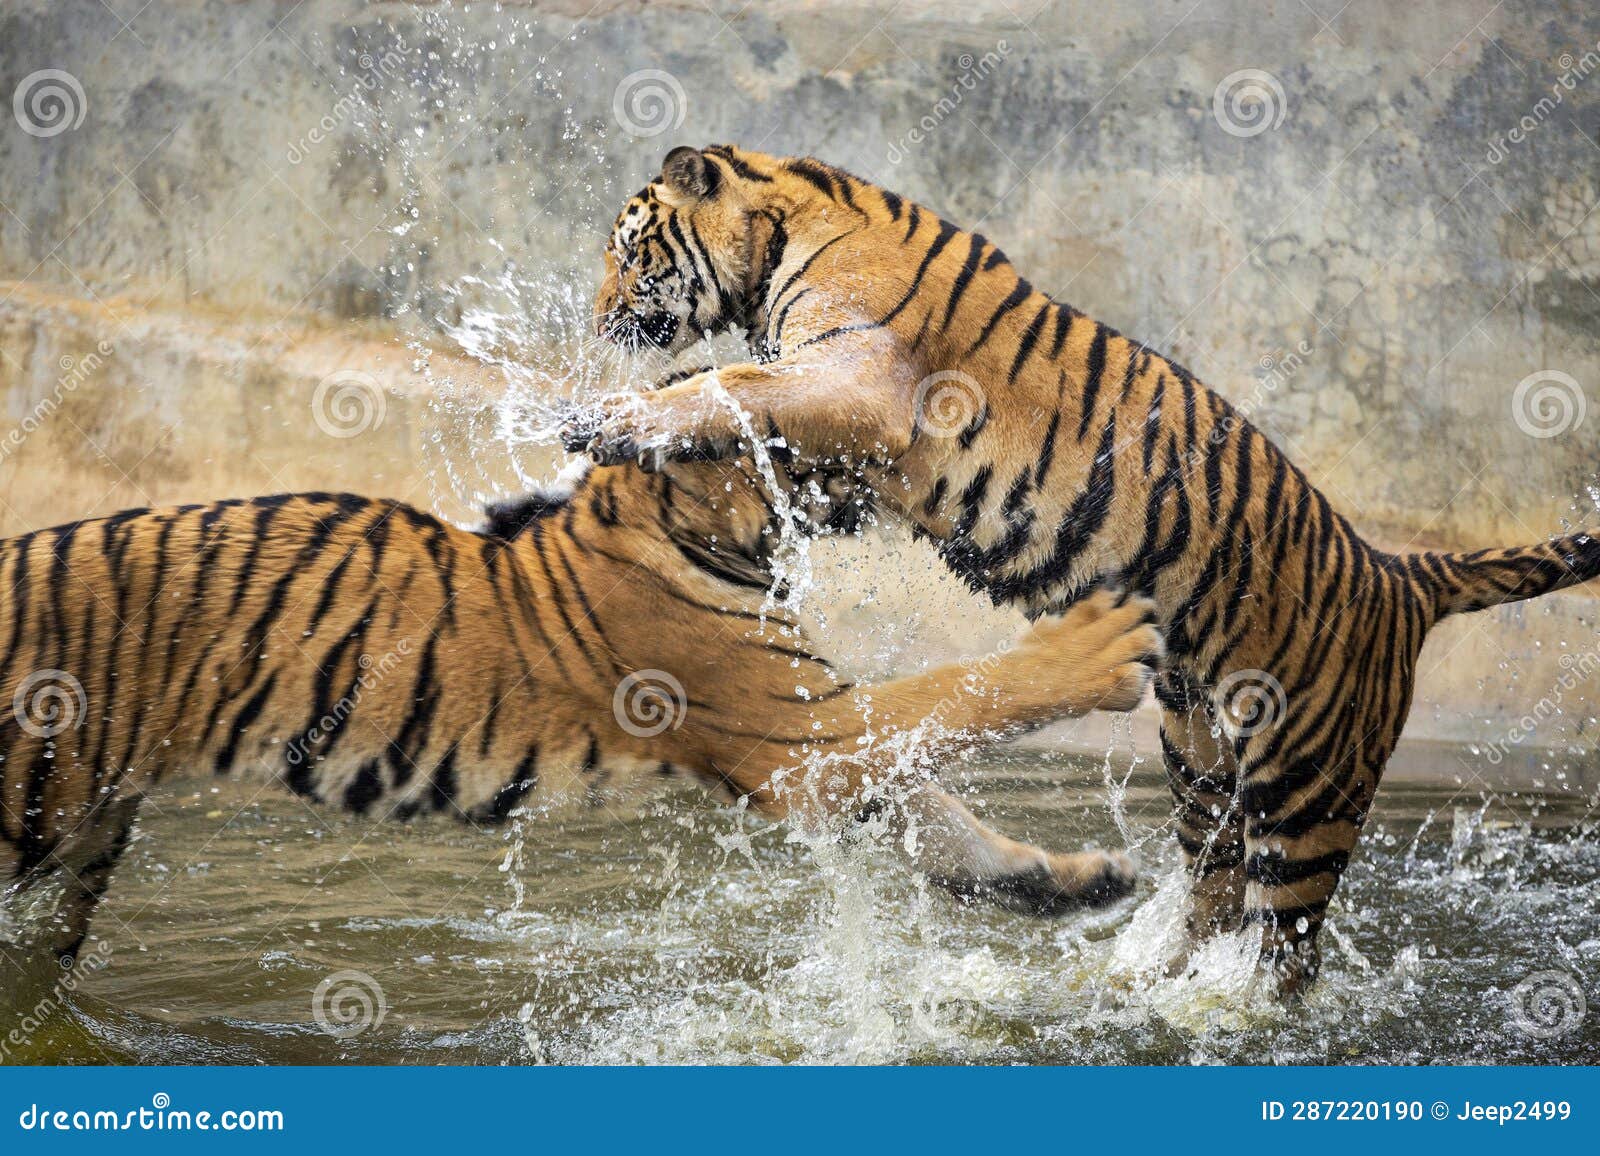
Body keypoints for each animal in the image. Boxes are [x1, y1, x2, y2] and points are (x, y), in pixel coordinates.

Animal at [0, 450, 1164, 977]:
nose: (889, 459)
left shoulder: (822, 736)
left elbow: (949, 824)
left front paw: (1079, 882)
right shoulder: (804, 738)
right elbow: (968, 688)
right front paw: (1102, 644)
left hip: (83, 850)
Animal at [566, 143, 1600, 996]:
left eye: (628, 250)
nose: (599, 316)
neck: (785, 232)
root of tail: (1397, 574)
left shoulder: (860, 379)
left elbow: (728, 383)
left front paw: (601, 420)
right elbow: (743, 411)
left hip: (1308, 793)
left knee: (1289, 952)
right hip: (1201, 762)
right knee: (1214, 899)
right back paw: (1151, 987)